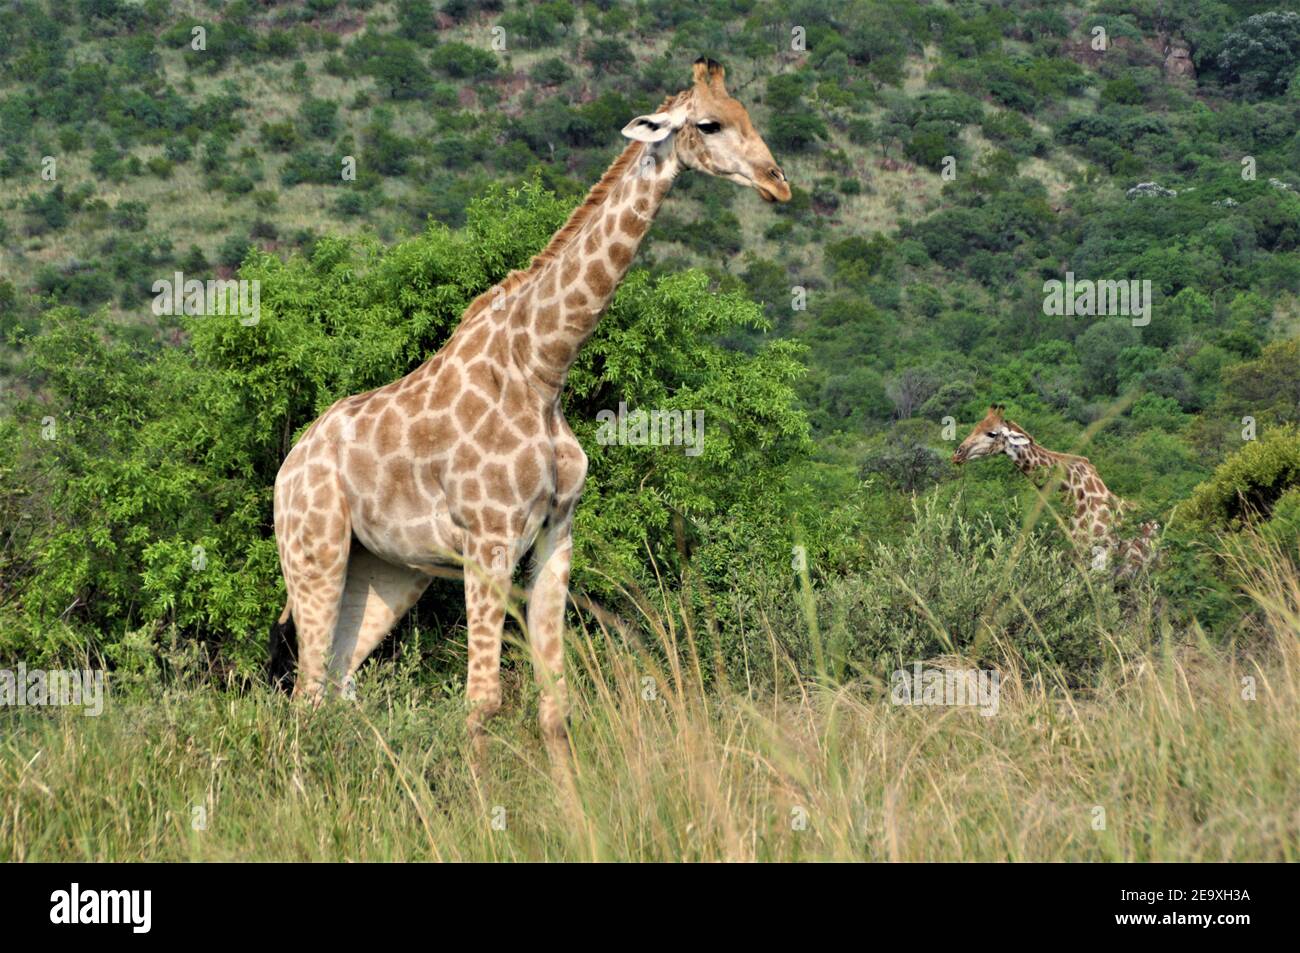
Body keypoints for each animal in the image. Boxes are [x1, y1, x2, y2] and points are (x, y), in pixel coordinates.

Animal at [268, 58, 790, 762]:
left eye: (747, 114)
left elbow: (554, 703)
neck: (543, 369)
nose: (777, 182)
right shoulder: (488, 539)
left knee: (337, 683)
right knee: (305, 692)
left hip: (387, 568)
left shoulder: (555, 533)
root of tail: (288, 467)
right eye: (709, 124)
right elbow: (483, 700)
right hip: (314, 548)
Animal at [951, 404, 1159, 576]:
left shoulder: (1094, 563)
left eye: (992, 433)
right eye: (976, 426)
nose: (957, 454)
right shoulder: (1068, 560)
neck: (1073, 498)